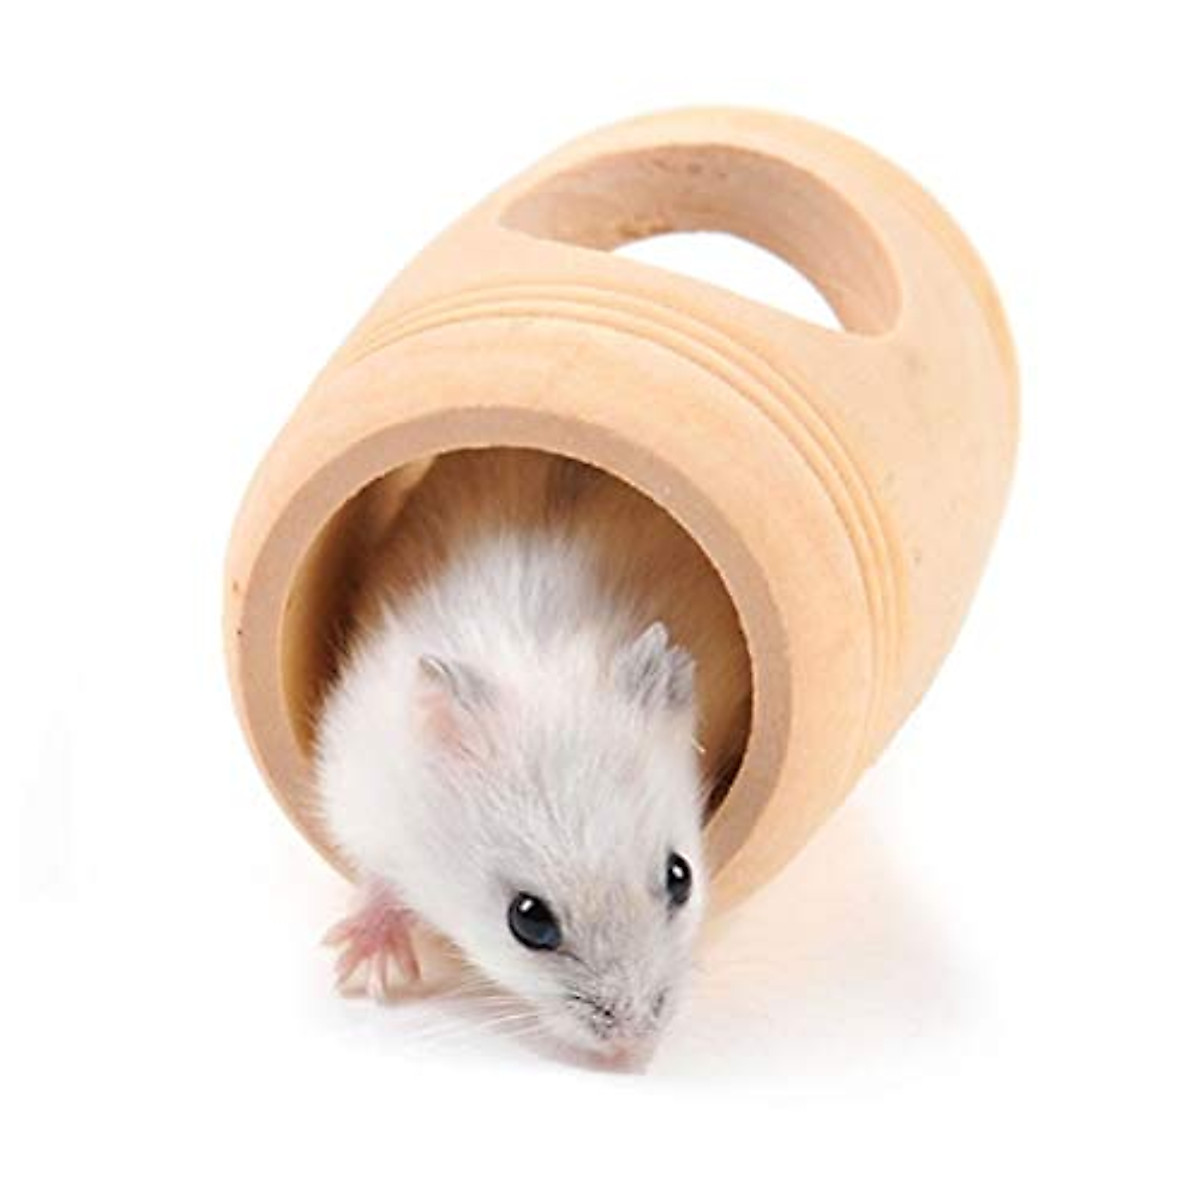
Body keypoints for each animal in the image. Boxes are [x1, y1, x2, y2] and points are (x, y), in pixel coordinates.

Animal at [315, 449, 750, 1064]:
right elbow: (376, 874)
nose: (633, 1047)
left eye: (680, 876)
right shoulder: (359, 786)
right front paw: (365, 971)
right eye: (528, 921)